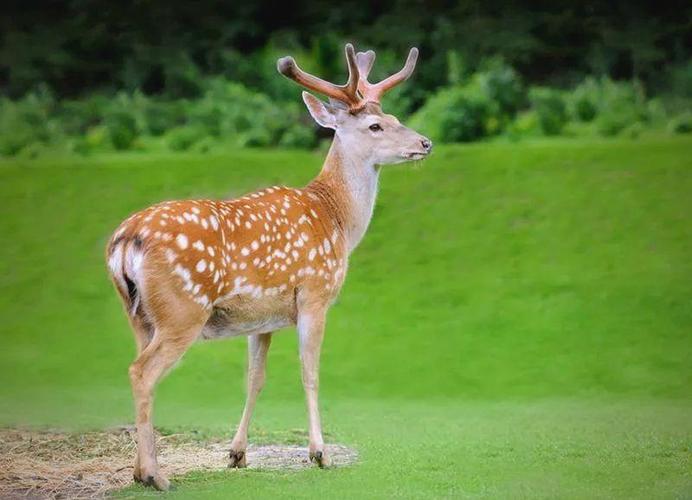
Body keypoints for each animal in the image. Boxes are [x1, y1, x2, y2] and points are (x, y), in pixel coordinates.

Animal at [105, 43, 431, 490]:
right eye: (375, 126)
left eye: (396, 118)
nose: (425, 142)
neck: (336, 219)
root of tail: (125, 242)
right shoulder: (314, 293)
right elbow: (310, 372)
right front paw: (319, 453)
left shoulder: (262, 317)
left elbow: (255, 378)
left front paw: (237, 454)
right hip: (182, 310)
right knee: (142, 372)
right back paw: (156, 475)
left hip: (139, 315)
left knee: (141, 369)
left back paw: (140, 471)